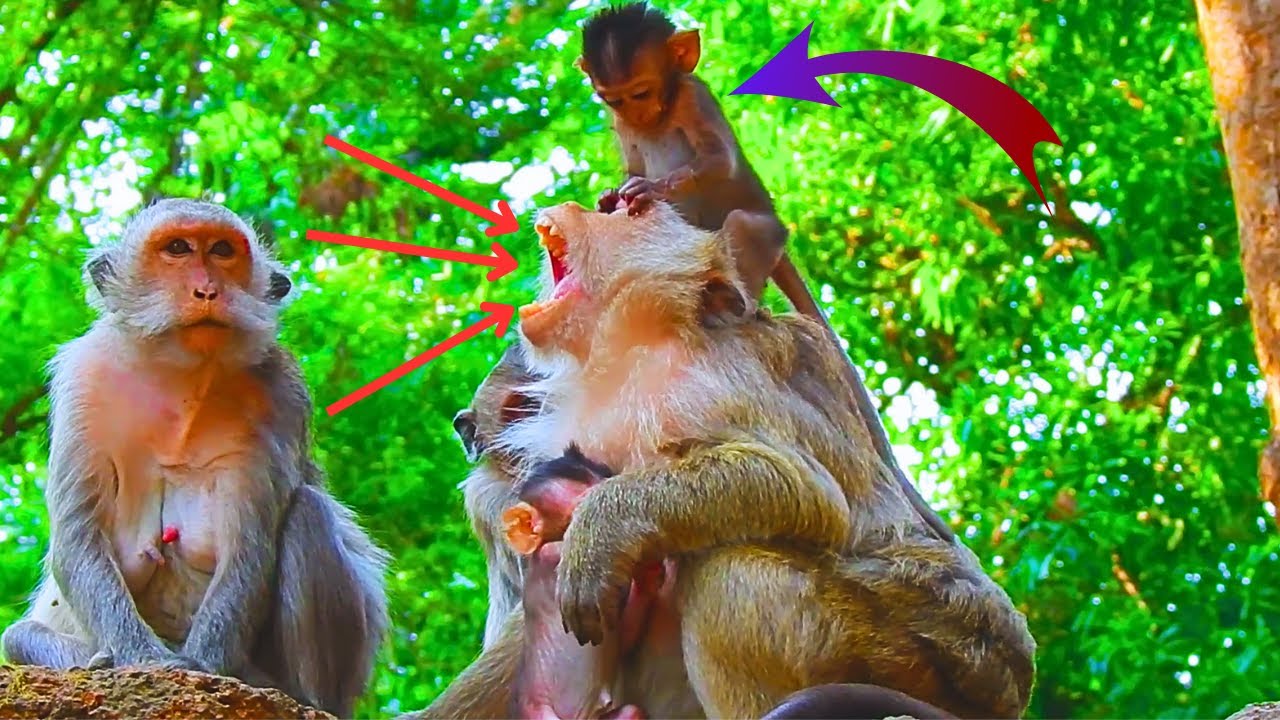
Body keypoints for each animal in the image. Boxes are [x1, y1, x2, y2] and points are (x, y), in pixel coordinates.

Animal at [0, 198, 390, 718]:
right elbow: (78, 536)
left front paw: (202, 666)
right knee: (19, 635)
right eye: (179, 248)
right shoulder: (85, 380)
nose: (207, 289)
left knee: (308, 512)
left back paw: (295, 694)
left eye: (222, 251)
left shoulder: (282, 394)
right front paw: (141, 658)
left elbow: (250, 548)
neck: (180, 375)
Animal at [411, 199, 1035, 720]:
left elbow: (801, 487)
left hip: (907, 660)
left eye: (628, 214)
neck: (633, 348)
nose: (569, 204)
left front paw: (603, 528)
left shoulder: (707, 381)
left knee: (733, 572)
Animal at [575, 2, 956, 546]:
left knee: (740, 225)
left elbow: (716, 159)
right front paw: (613, 195)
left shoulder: (693, 98)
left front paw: (650, 189)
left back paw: (738, 302)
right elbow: (629, 166)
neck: (661, 110)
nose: (636, 112)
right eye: (613, 99)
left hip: (764, 230)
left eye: (643, 92)